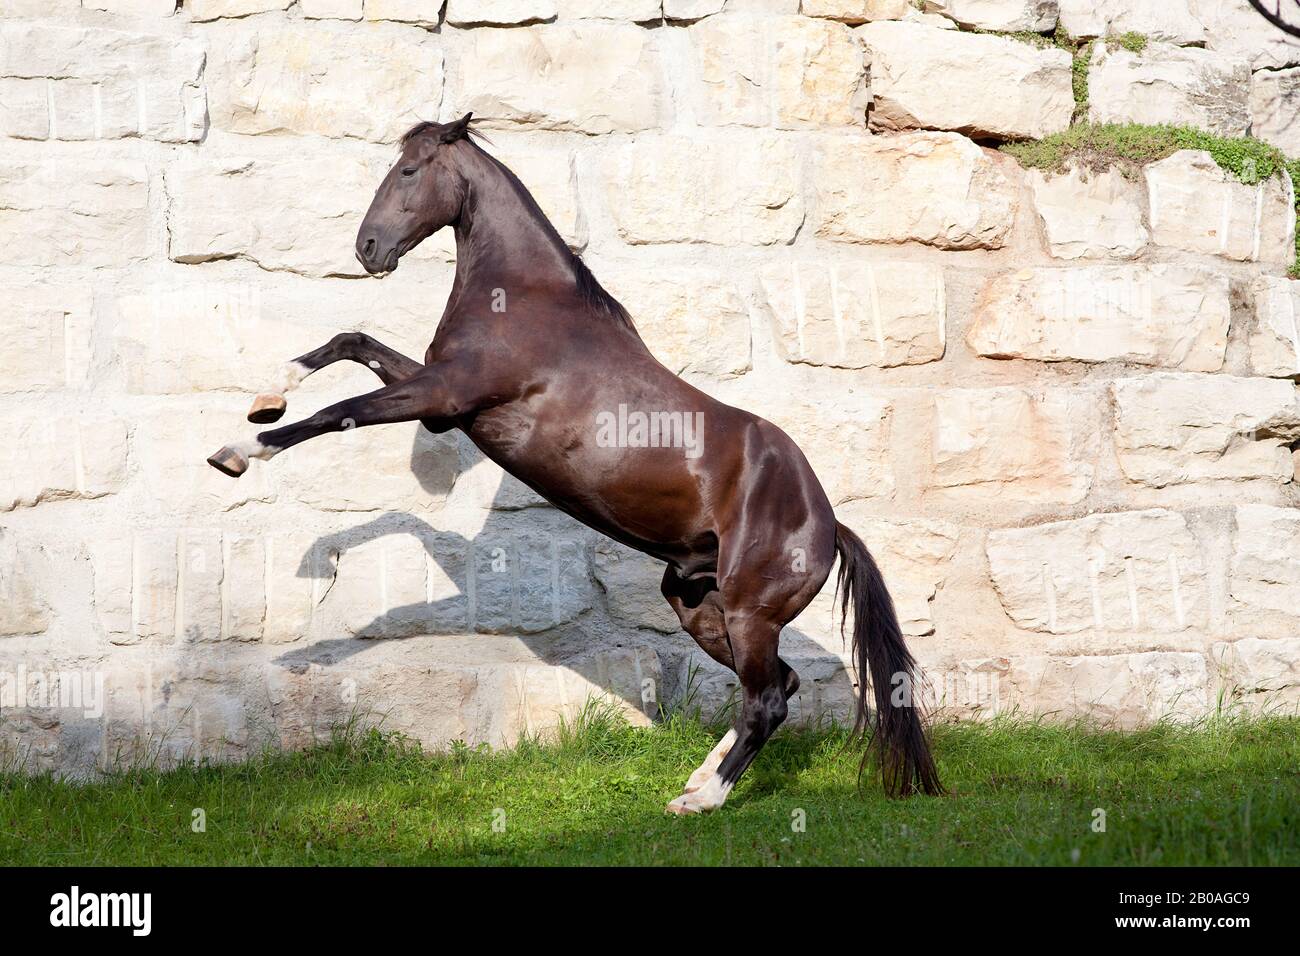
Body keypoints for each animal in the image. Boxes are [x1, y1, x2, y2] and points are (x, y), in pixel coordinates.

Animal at [207, 113, 942, 814]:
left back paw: (700, 800)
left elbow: (340, 413)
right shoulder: (441, 402)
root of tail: (828, 524)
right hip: (697, 605)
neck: (525, 299)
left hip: (748, 614)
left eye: (410, 170)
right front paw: (264, 401)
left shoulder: (442, 395)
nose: (367, 248)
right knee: (777, 687)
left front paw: (240, 453)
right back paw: (696, 778)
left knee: (767, 700)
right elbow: (349, 342)